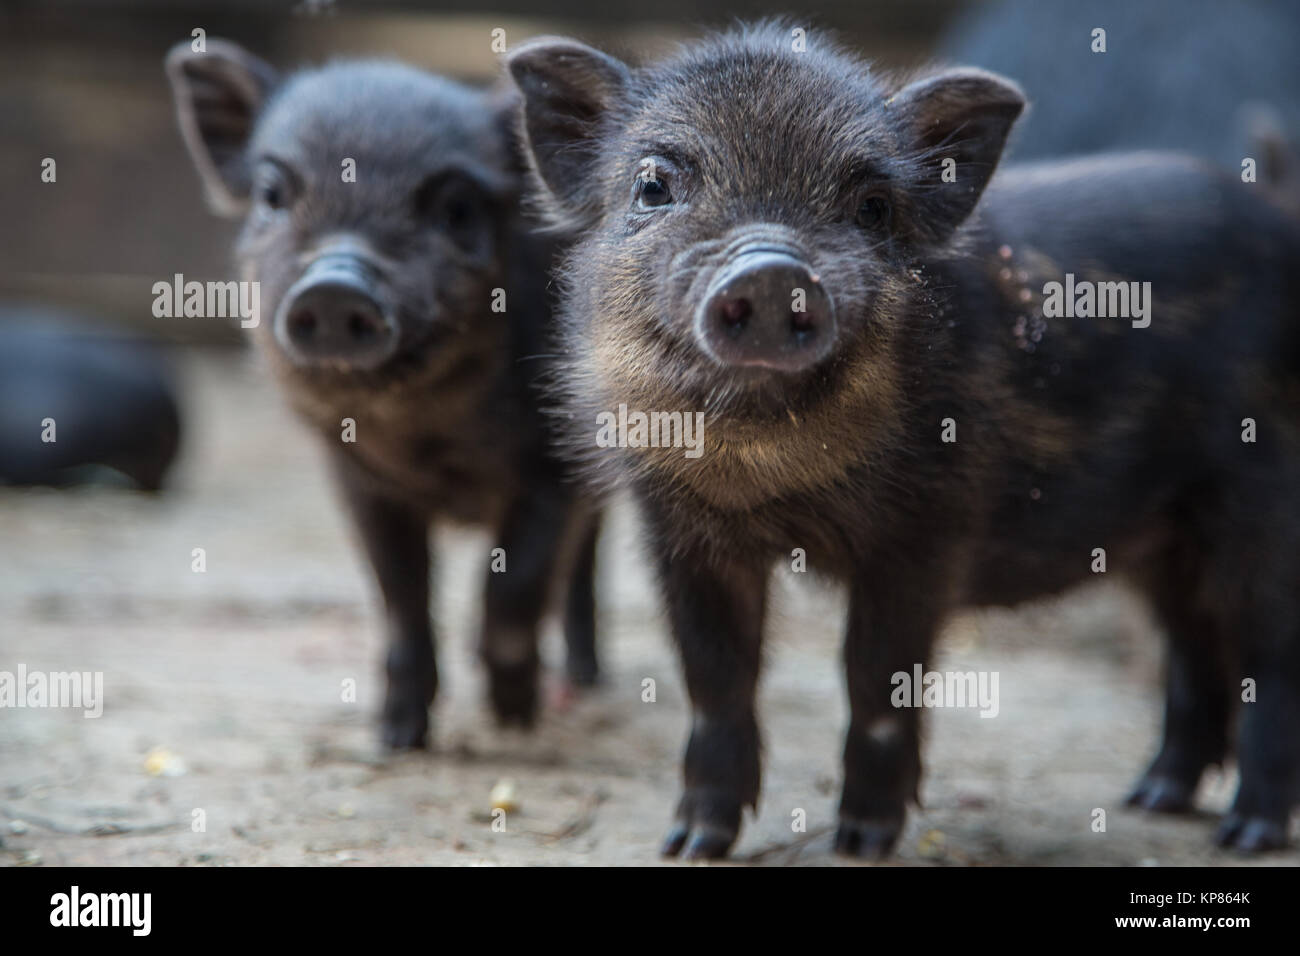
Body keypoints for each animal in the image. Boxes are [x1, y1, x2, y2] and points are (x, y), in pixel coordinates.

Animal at [166, 39, 600, 749]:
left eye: (457, 208)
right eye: (271, 194)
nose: (335, 285)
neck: (428, 440)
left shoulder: (555, 464)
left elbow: (518, 585)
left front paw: (512, 719)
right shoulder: (360, 480)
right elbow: (400, 595)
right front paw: (396, 740)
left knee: (587, 564)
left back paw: (585, 684)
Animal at [507, 23, 1300, 858]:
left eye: (873, 207)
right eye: (654, 185)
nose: (770, 271)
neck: (766, 463)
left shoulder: (926, 530)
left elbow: (877, 676)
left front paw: (861, 841)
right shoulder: (678, 530)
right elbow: (716, 677)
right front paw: (691, 845)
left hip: (1265, 497)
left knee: (1271, 660)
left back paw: (1247, 833)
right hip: (1163, 540)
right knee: (1195, 648)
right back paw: (1154, 798)